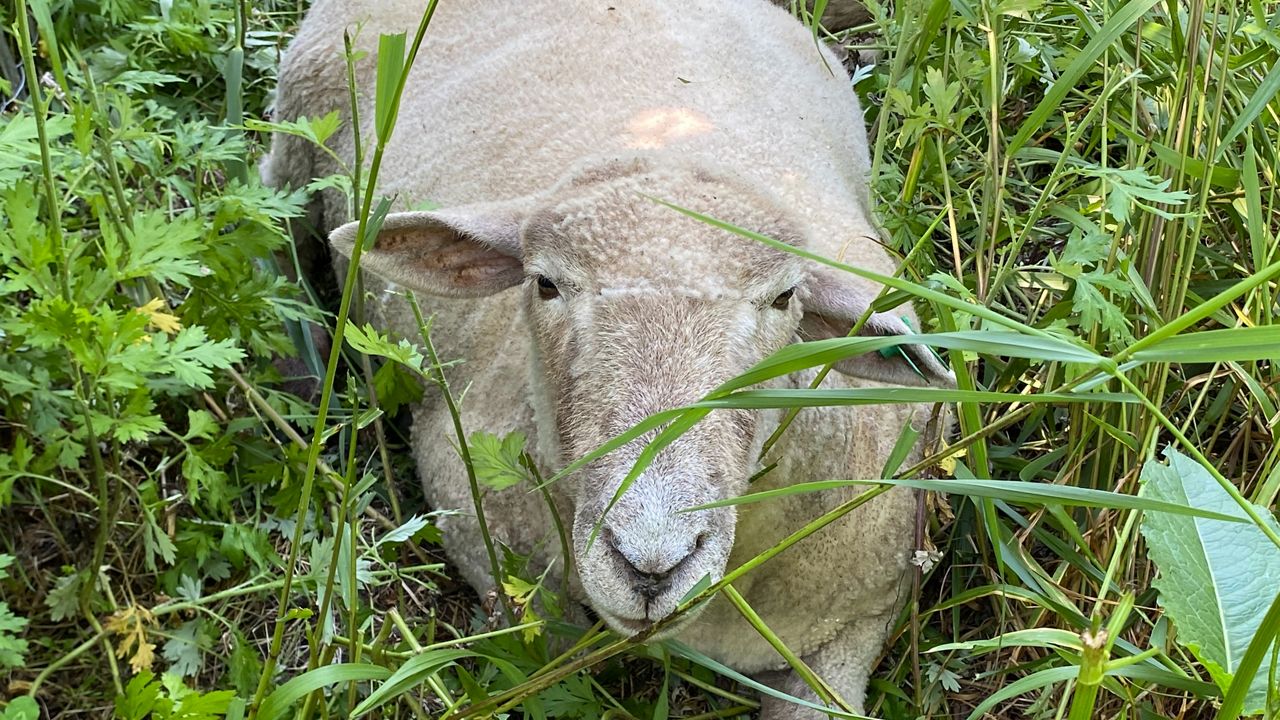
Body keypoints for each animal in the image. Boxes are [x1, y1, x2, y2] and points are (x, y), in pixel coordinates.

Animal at [264, 2, 953, 717]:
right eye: (544, 283)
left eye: (785, 297)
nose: (650, 564)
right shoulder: (481, 524)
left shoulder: (855, 627)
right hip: (299, 122)